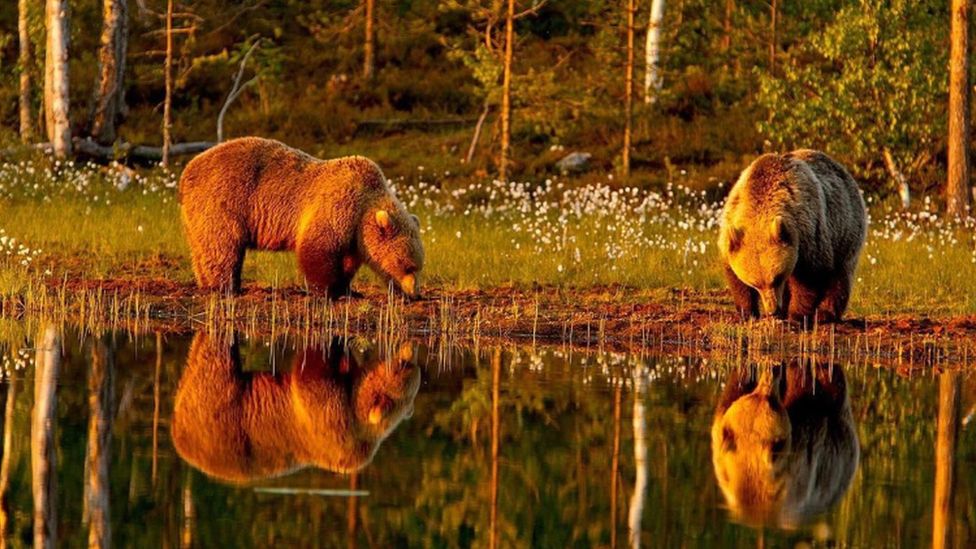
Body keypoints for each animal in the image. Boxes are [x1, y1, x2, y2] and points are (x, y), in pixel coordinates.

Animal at [179, 137, 424, 298]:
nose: (414, 293)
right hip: (223, 201)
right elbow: (318, 248)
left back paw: (206, 282)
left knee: (203, 248)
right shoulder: (337, 206)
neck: (363, 207)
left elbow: (346, 261)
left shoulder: (354, 235)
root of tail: (187, 170)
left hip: (195, 216)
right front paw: (325, 291)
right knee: (223, 246)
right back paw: (226, 287)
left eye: (419, 266)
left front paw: (347, 289)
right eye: (407, 265)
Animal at [718, 149, 866, 322]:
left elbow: (809, 278)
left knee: (840, 275)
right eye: (755, 283)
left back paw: (825, 313)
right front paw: (748, 313)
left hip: (845, 228)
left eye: (777, 278)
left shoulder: (808, 232)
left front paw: (796, 315)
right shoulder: (731, 231)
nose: (772, 310)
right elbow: (736, 281)